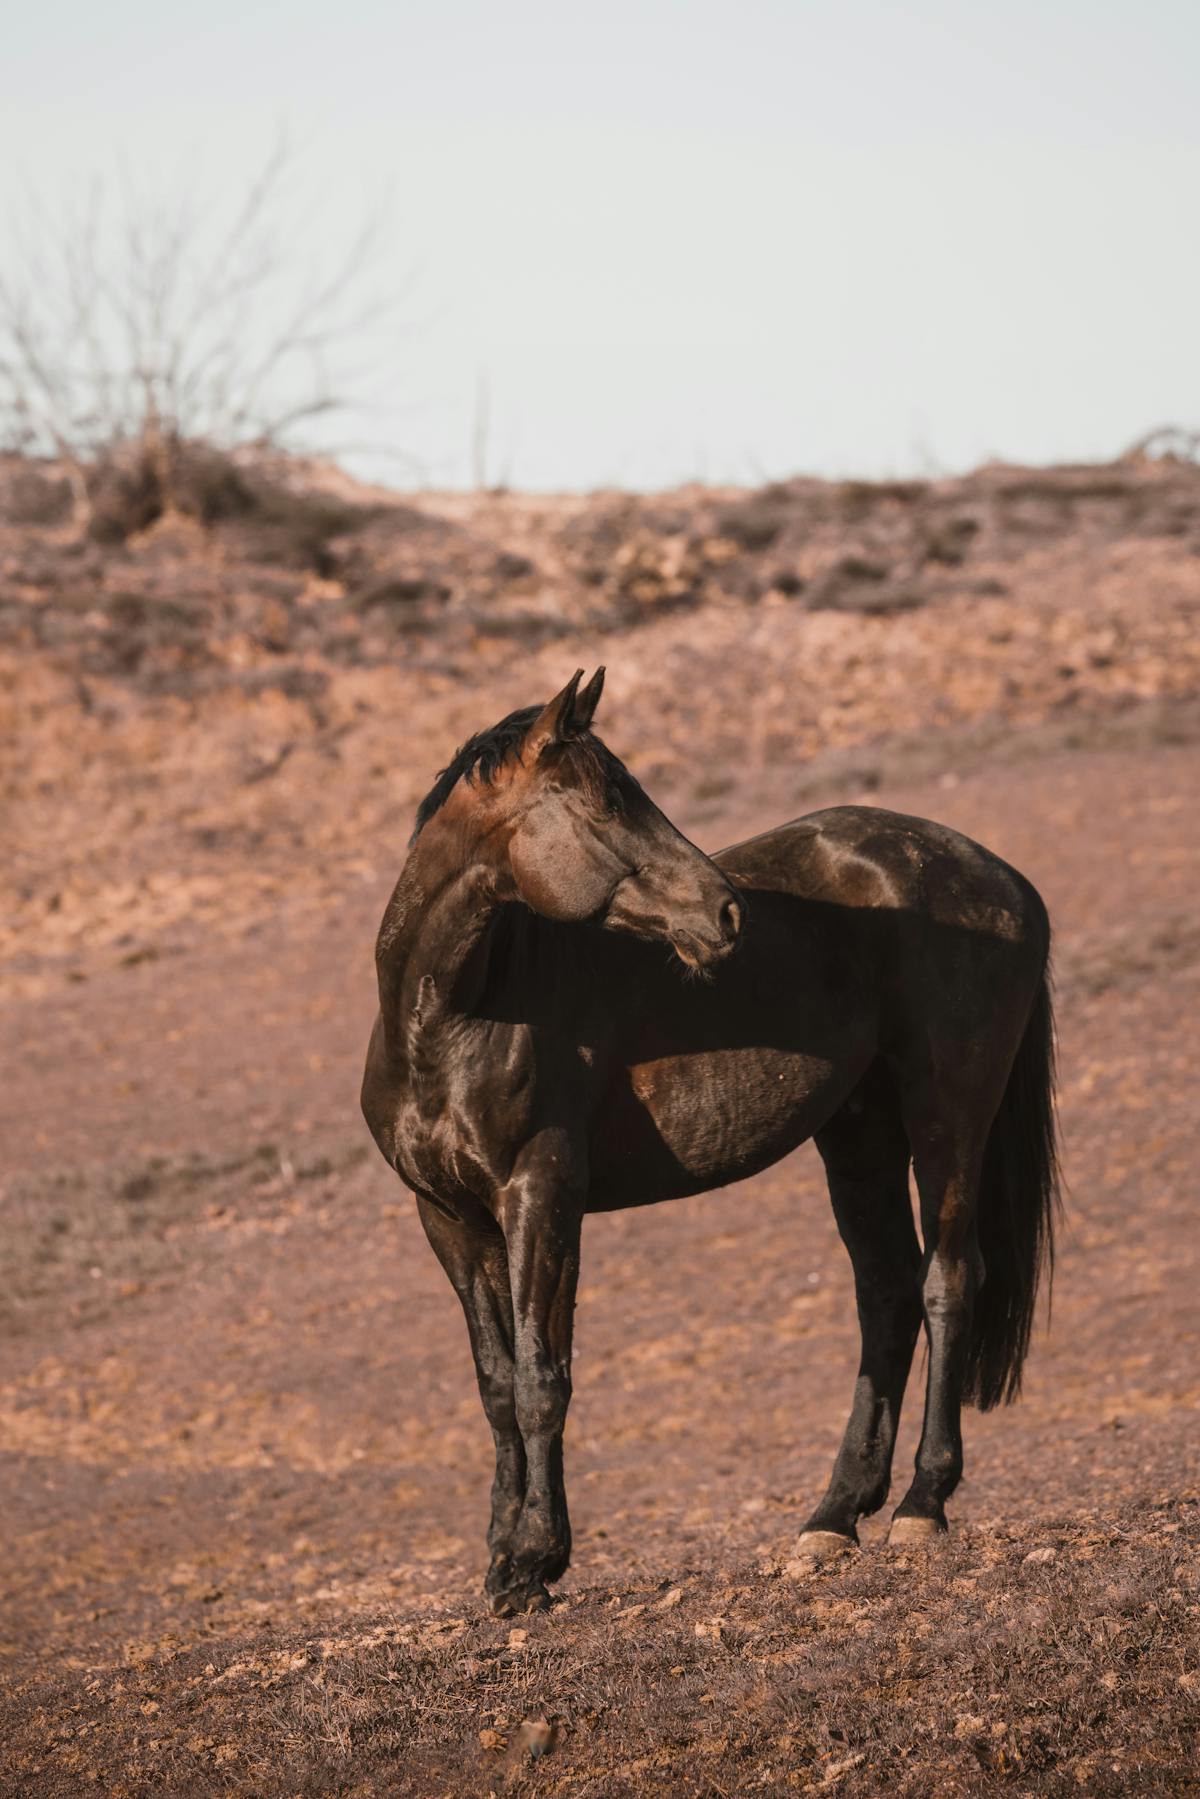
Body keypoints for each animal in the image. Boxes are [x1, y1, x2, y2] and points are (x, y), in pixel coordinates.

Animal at [361, 668, 1059, 1615]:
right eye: (606, 801)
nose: (726, 911)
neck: (456, 1015)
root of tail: (1006, 879)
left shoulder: (542, 1195)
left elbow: (546, 1379)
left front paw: (536, 1559)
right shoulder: (449, 1216)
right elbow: (499, 1384)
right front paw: (504, 1557)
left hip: (948, 1114)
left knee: (947, 1281)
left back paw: (921, 1504)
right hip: (859, 1133)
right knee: (885, 1295)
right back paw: (832, 1517)